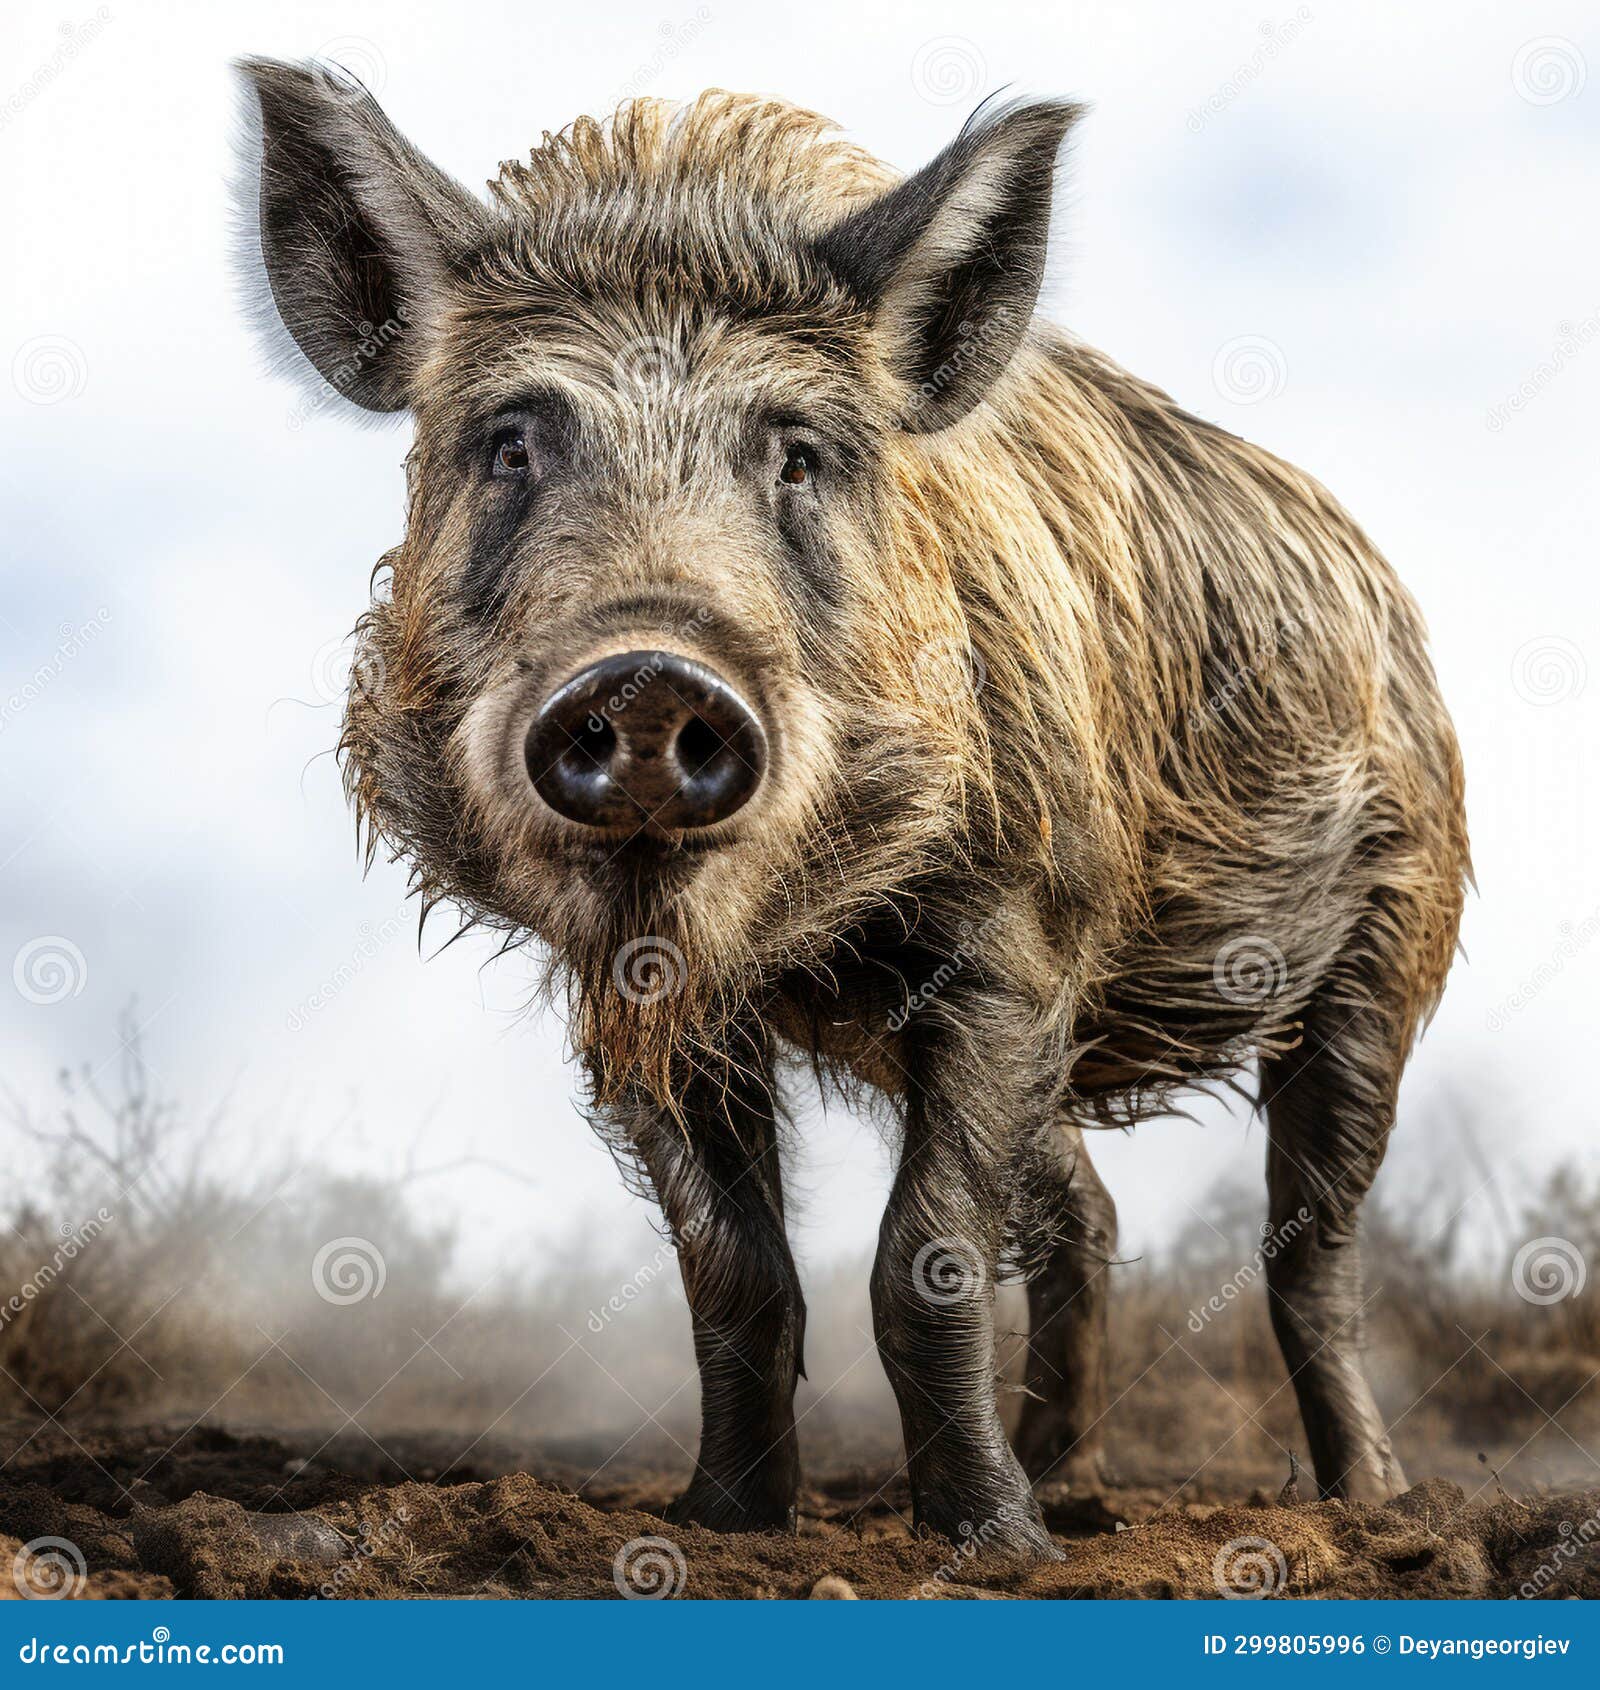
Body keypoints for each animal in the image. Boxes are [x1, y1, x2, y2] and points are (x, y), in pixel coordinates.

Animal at [235, 61, 1470, 1557]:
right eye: (514, 442)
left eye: (799, 456)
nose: (647, 673)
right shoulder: (655, 1004)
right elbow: (734, 1267)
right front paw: (723, 1523)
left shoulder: (1017, 948)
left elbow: (924, 1256)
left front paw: (994, 1552)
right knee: (1090, 1210)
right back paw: (1071, 1488)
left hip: (1392, 941)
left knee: (1314, 1245)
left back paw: (1369, 1507)